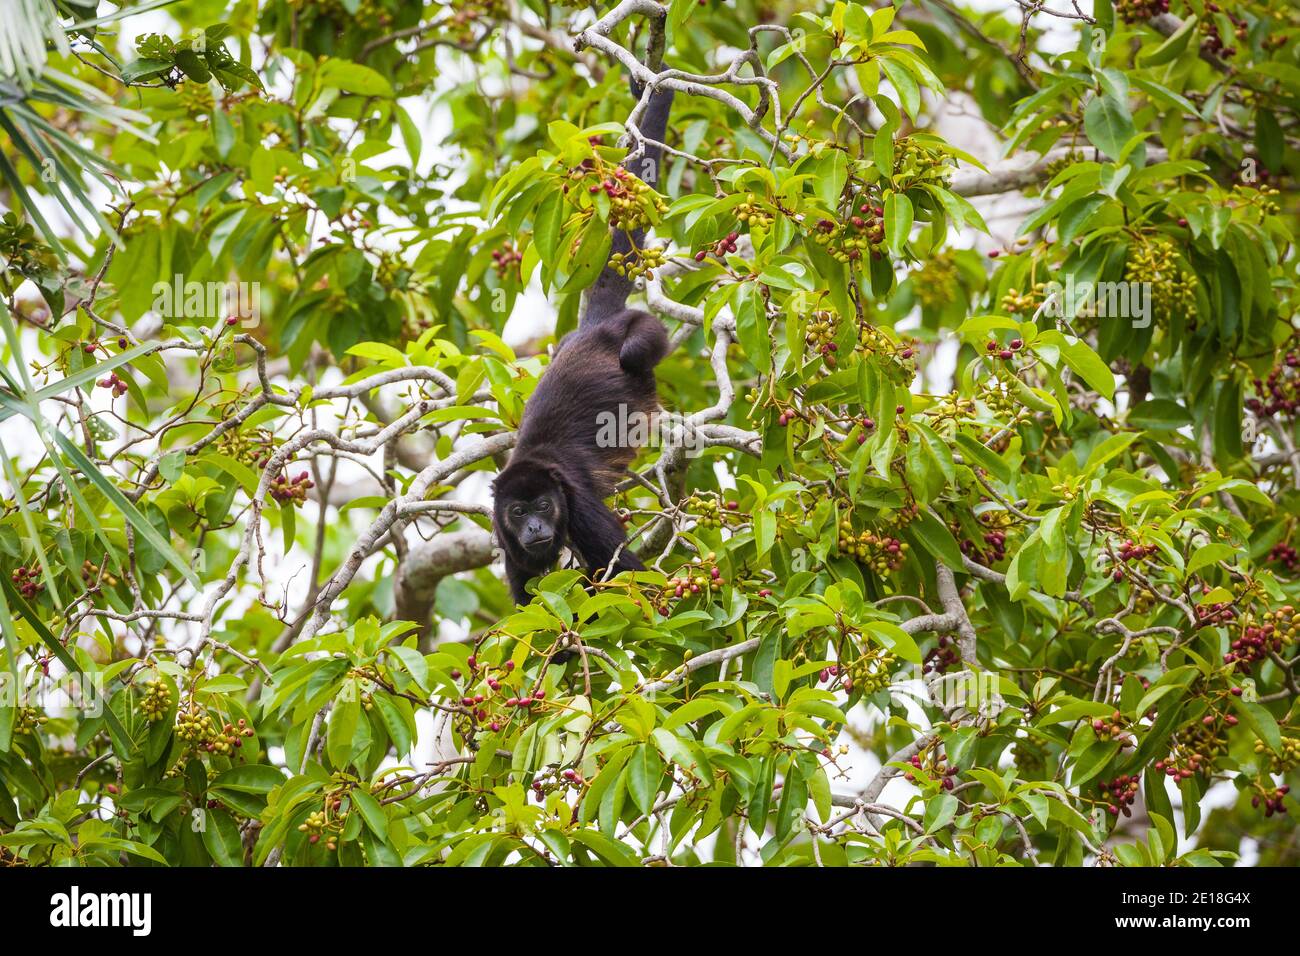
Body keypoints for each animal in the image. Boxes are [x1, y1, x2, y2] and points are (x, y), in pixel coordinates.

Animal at [493, 79, 675, 607]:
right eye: (517, 512)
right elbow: (526, 600)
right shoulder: (503, 537)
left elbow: (629, 575)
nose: (534, 526)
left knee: (635, 351)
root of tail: (595, 328)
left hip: (641, 329)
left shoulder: (578, 505)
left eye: (543, 505)